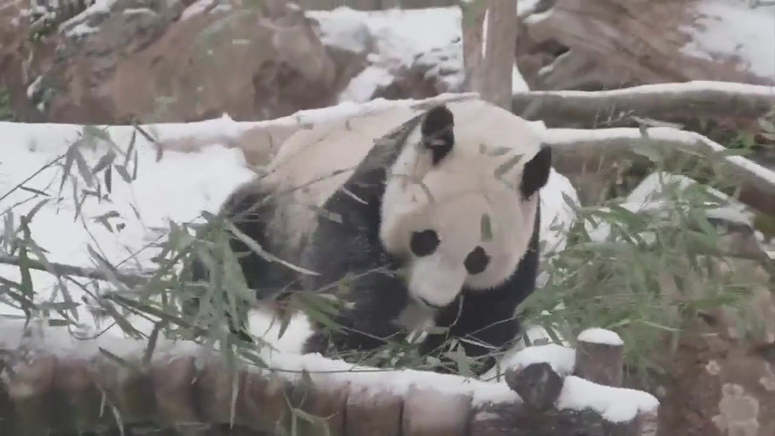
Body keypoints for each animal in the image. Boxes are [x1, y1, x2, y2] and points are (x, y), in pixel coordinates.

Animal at [191, 99, 552, 375]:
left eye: (477, 260)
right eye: (425, 239)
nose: (432, 300)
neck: (489, 133)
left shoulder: (526, 231)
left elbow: (489, 313)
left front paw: (440, 361)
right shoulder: (378, 179)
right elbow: (348, 265)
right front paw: (354, 344)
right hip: (284, 208)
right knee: (234, 254)